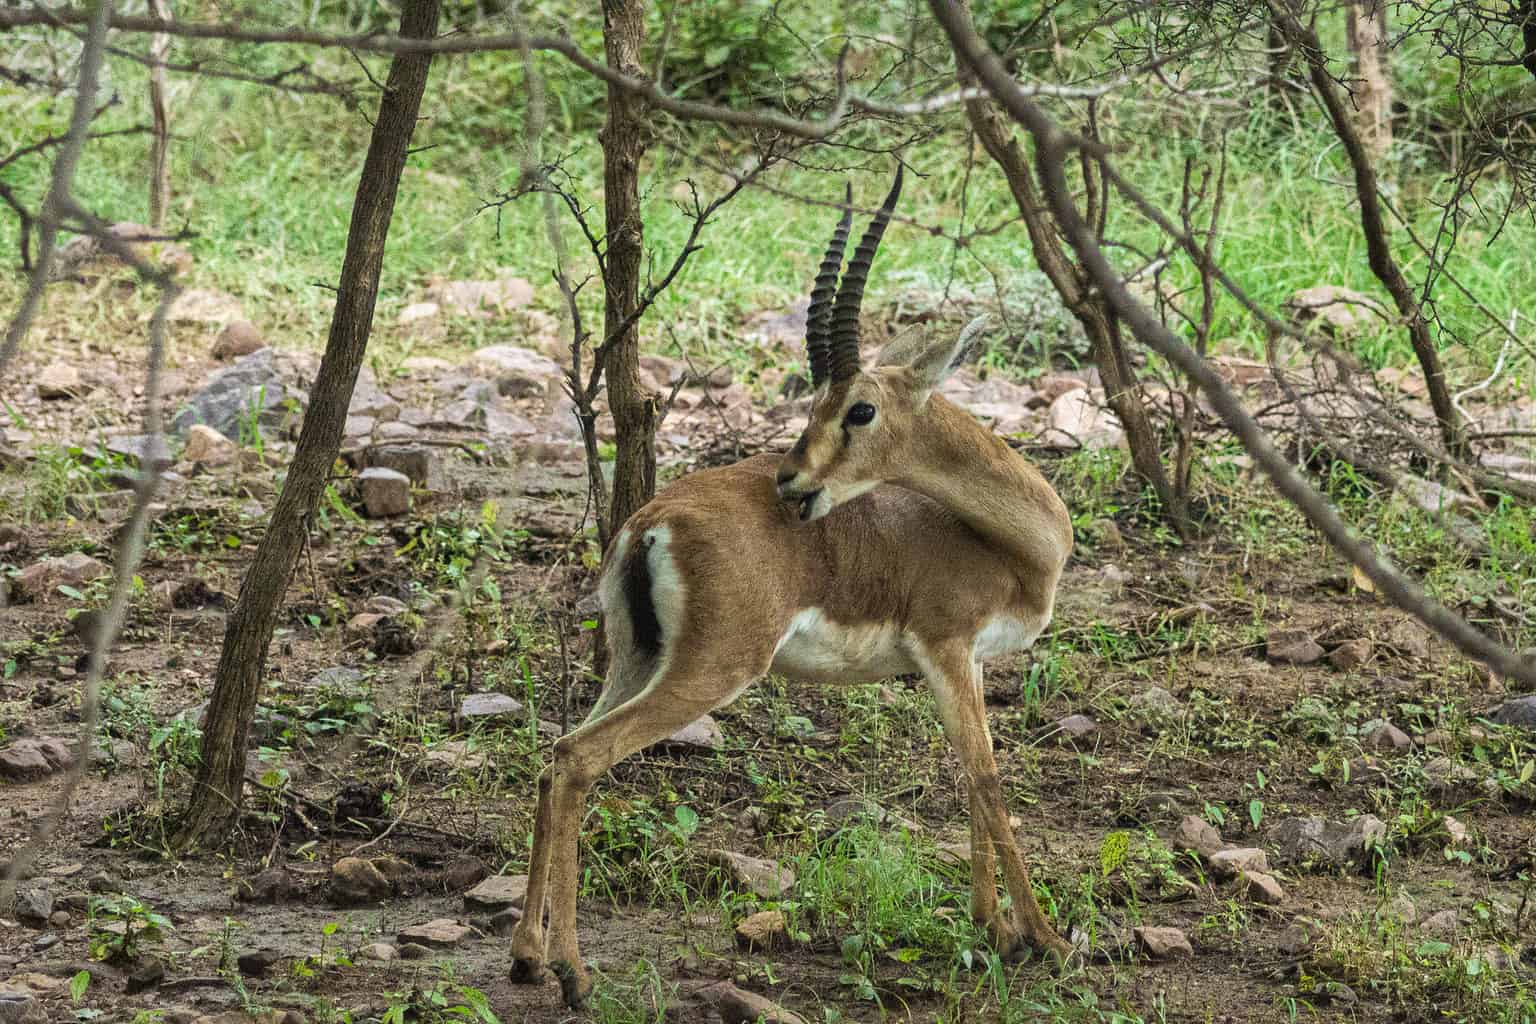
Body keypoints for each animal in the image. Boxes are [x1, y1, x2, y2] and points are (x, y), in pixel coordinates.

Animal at [508, 166, 1075, 1008]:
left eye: (858, 408)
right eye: (817, 405)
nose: (790, 481)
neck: (1015, 544)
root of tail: (649, 523)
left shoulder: (966, 664)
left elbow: (971, 784)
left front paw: (993, 929)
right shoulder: (946, 648)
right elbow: (989, 780)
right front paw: (1044, 938)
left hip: (635, 663)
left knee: (553, 755)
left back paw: (526, 957)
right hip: (713, 669)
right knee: (580, 758)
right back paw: (575, 975)